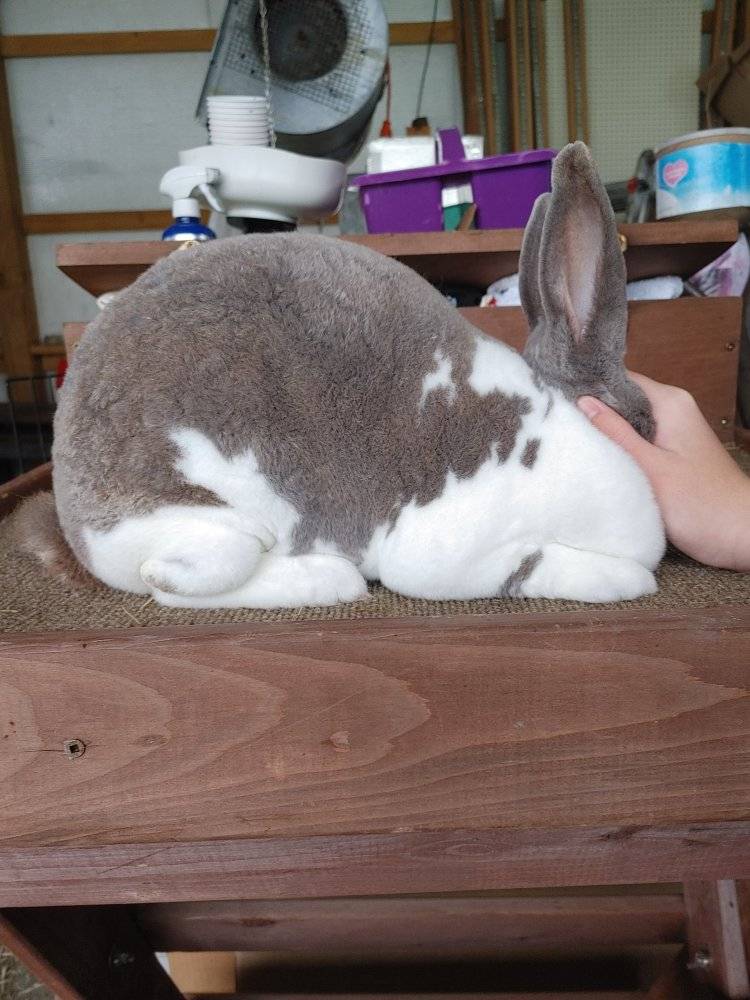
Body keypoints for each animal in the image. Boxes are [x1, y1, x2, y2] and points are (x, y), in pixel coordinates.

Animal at [19, 141, 664, 608]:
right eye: (646, 424)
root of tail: (74, 525)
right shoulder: (453, 549)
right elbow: (546, 567)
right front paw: (630, 580)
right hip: (204, 521)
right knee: (172, 582)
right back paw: (330, 580)